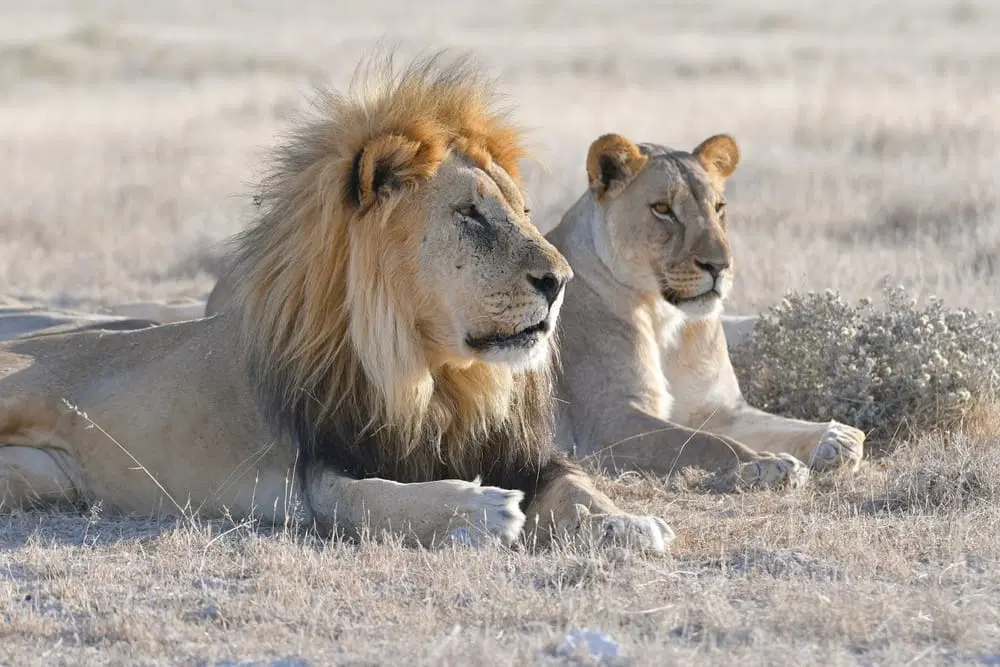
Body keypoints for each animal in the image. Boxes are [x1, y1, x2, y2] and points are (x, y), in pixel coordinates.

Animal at [0, 53, 672, 552]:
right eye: (471, 215)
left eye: (524, 212)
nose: (561, 280)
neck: (440, 379)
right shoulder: (318, 472)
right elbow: (380, 499)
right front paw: (480, 510)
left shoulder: (521, 451)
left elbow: (579, 484)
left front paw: (626, 523)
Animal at [545, 132, 866, 482]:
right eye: (662, 209)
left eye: (718, 208)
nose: (719, 266)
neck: (665, 320)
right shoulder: (609, 420)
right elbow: (704, 443)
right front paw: (763, 464)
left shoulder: (719, 408)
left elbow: (775, 424)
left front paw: (836, 438)